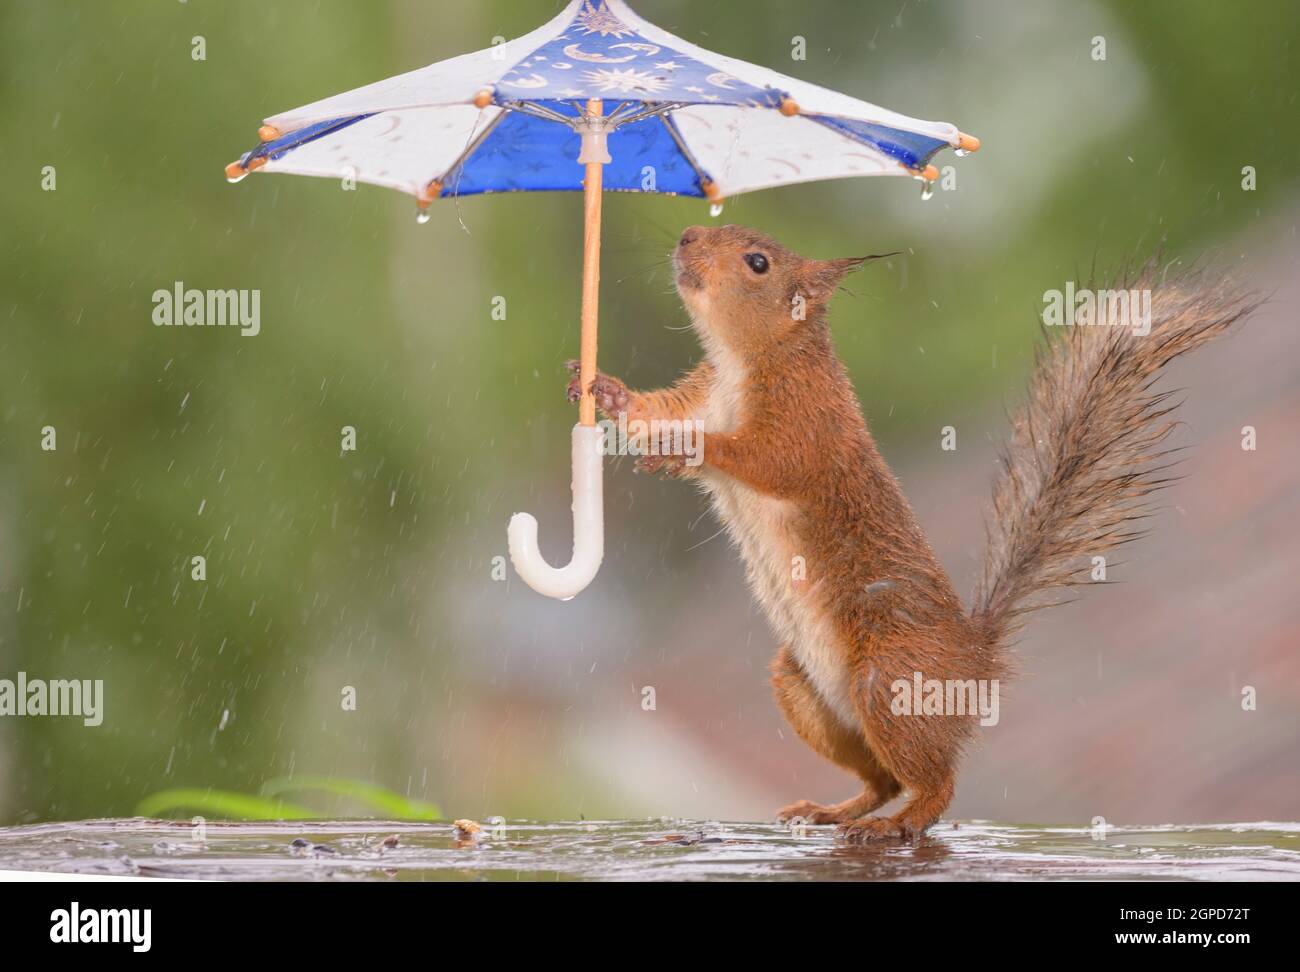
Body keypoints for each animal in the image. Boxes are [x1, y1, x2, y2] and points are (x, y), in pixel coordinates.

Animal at [566, 224, 1257, 841]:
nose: (686, 237)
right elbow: (656, 411)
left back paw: (896, 824)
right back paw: (834, 812)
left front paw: (683, 449)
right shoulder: (702, 395)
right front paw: (604, 389)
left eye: (757, 262)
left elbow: (768, 459)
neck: (745, 361)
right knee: (884, 780)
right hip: (806, 688)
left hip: (890, 684)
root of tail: (978, 663)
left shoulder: (806, 422)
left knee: (933, 785)